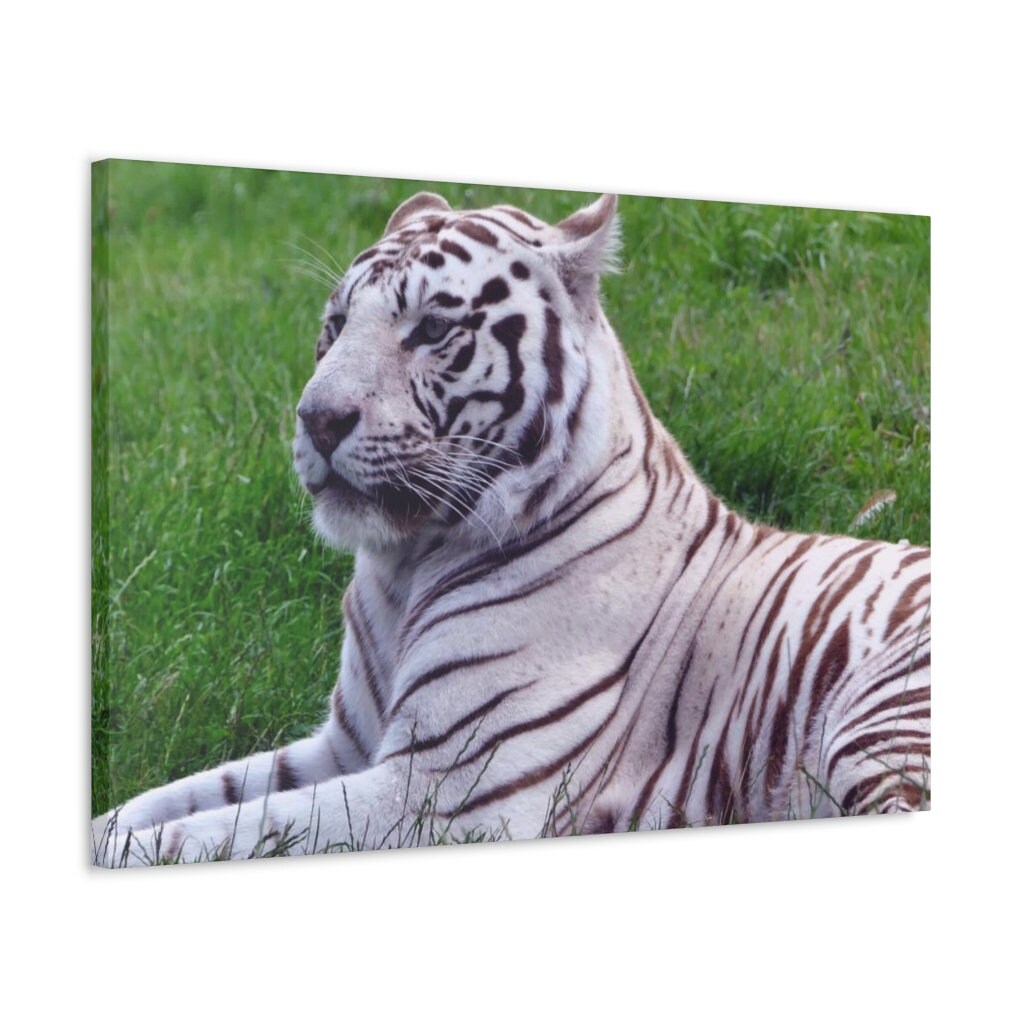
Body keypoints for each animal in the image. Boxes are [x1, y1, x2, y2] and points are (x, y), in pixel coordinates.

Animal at [92, 191, 931, 867]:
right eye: (334, 325)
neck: (403, 566)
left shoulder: (436, 793)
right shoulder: (343, 745)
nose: (317, 419)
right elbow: (176, 796)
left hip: (876, 724)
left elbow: (217, 832)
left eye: (432, 327)